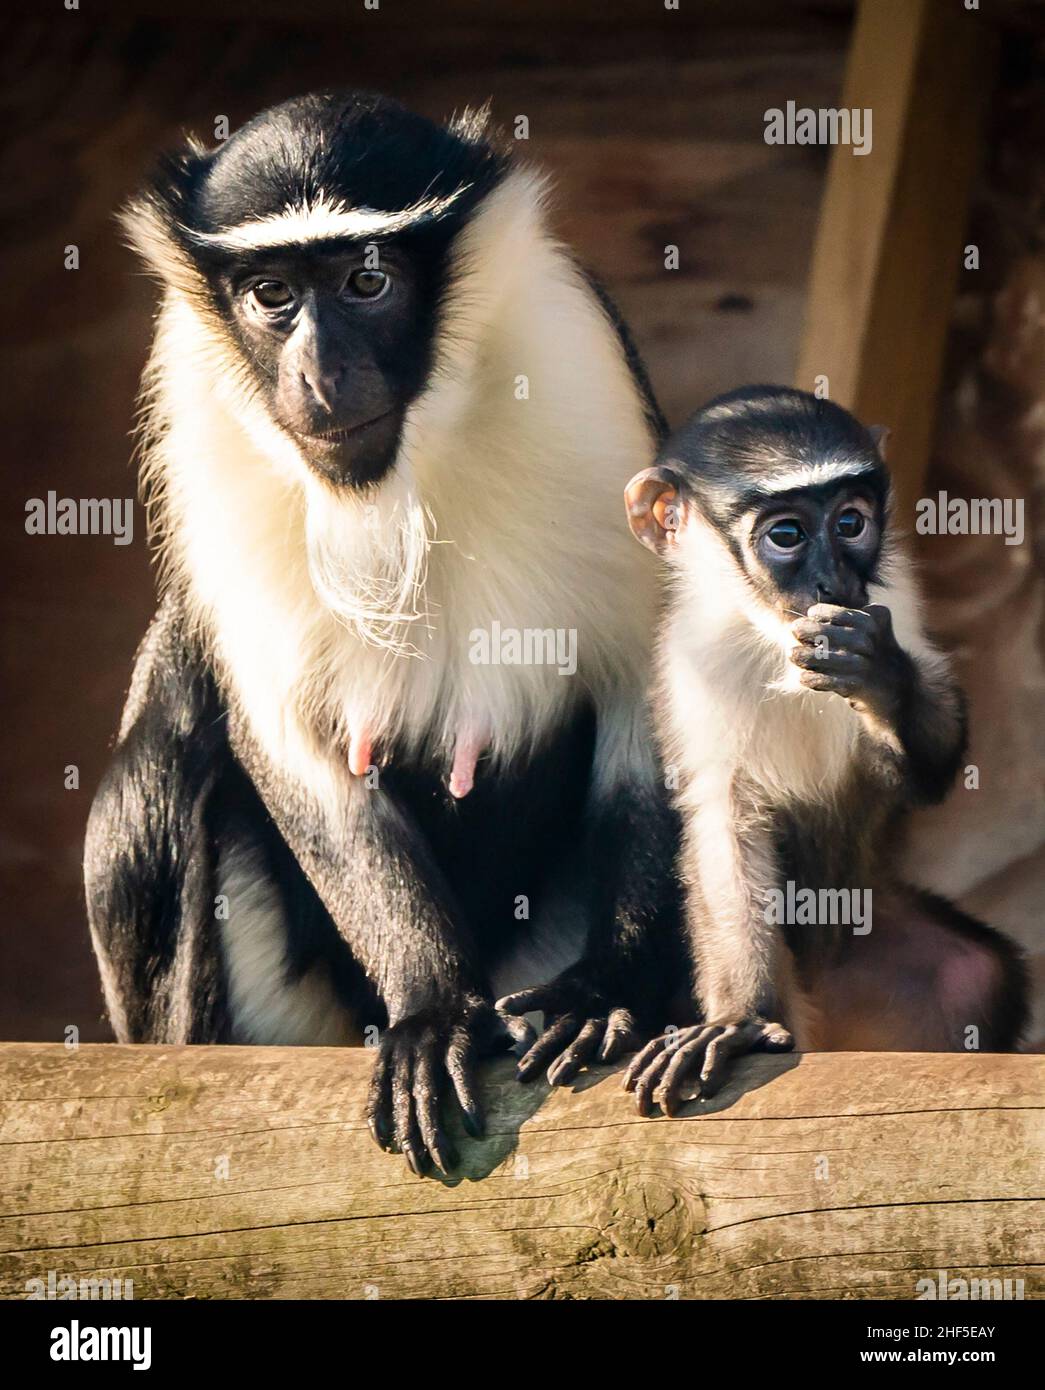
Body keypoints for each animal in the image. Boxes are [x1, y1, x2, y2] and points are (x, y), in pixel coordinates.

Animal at [84, 92, 683, 1175]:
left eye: (369, 281)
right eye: (271, 294)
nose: (320, 374)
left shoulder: (578, 359)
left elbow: (645, 697)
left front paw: (603, 992)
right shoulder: (203, 412)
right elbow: (291, 741)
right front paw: (432, 1012)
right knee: (173, 722)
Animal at [619, 386, 1027, 1115]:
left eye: (851, 523)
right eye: (786, 535)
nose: (834, 581)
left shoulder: (897, 602)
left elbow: (930, 770)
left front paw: (881, 678)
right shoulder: (688, 662)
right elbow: (723, 821)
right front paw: (740, 1021)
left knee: (972, 975)